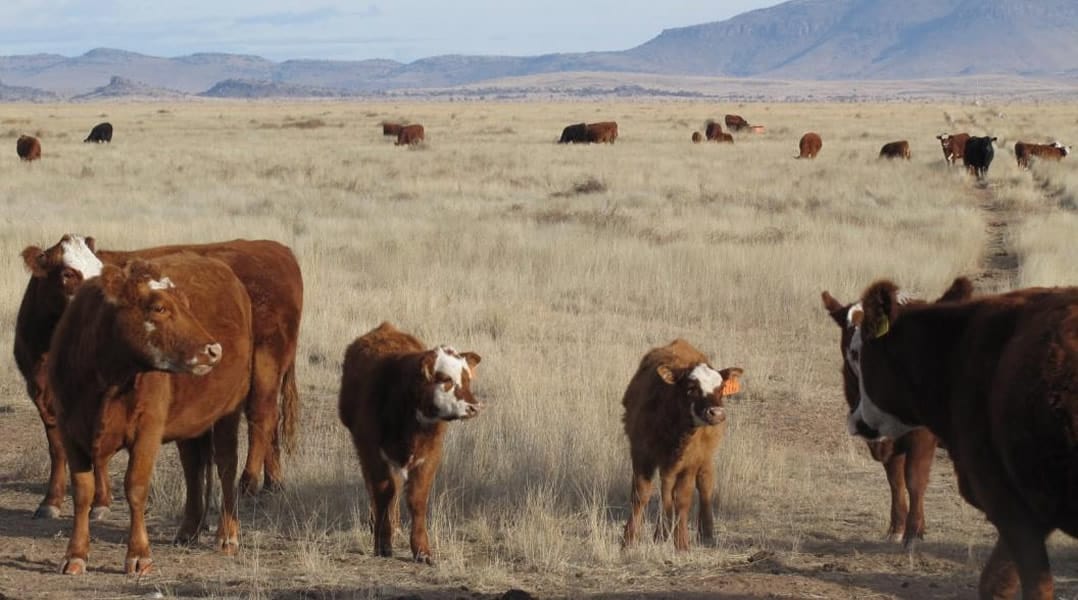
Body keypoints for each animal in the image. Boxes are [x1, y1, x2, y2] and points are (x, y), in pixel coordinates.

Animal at [15, 235, 302, 519]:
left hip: (266, 362)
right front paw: (51, 501)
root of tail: (273, 247)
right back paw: (273, 481)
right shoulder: (50, 400)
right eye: (67, 273)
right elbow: (57, 448)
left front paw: (101, 502)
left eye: (99, 270)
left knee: (261, 416)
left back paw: (249, 481)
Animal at [50, 255, 253, 575]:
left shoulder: (148, 429)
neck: (105, 383)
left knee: (226, 465)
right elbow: (82, 491)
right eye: (159, 307)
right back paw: (188, 530)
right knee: (193, 465)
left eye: (186, 304)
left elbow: (135, 487)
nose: (213, 350)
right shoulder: (69, 430)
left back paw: (227, 535)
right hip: (191, 421)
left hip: (229, 411)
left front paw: (138, 554)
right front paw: (75, 554)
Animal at [338, 322, 482, 563]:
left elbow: (417, 498)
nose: (474, 407)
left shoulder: (430, 455)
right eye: (445, 379)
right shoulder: (372, 451)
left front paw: (422, 550)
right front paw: (382, 543)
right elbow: (383, 492)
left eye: (468, 379)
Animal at [621, 339, 743, 550]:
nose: (717, 413)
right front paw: (629, 539)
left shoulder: (691, 461)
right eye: (691, 388)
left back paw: (706, 533)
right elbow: (640, 494)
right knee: (666, 489)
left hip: (705, 457)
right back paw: (662, 533)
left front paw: (681, 543)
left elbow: (683, 499)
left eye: (721, 389)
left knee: (705, 484)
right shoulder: (641, 453)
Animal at [821, 279, 972, 545]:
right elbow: (895, 480)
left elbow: (914, 479)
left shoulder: (922, 436)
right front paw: (898, 529)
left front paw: (913, 534)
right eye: (850, 335)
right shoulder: (886, 441)